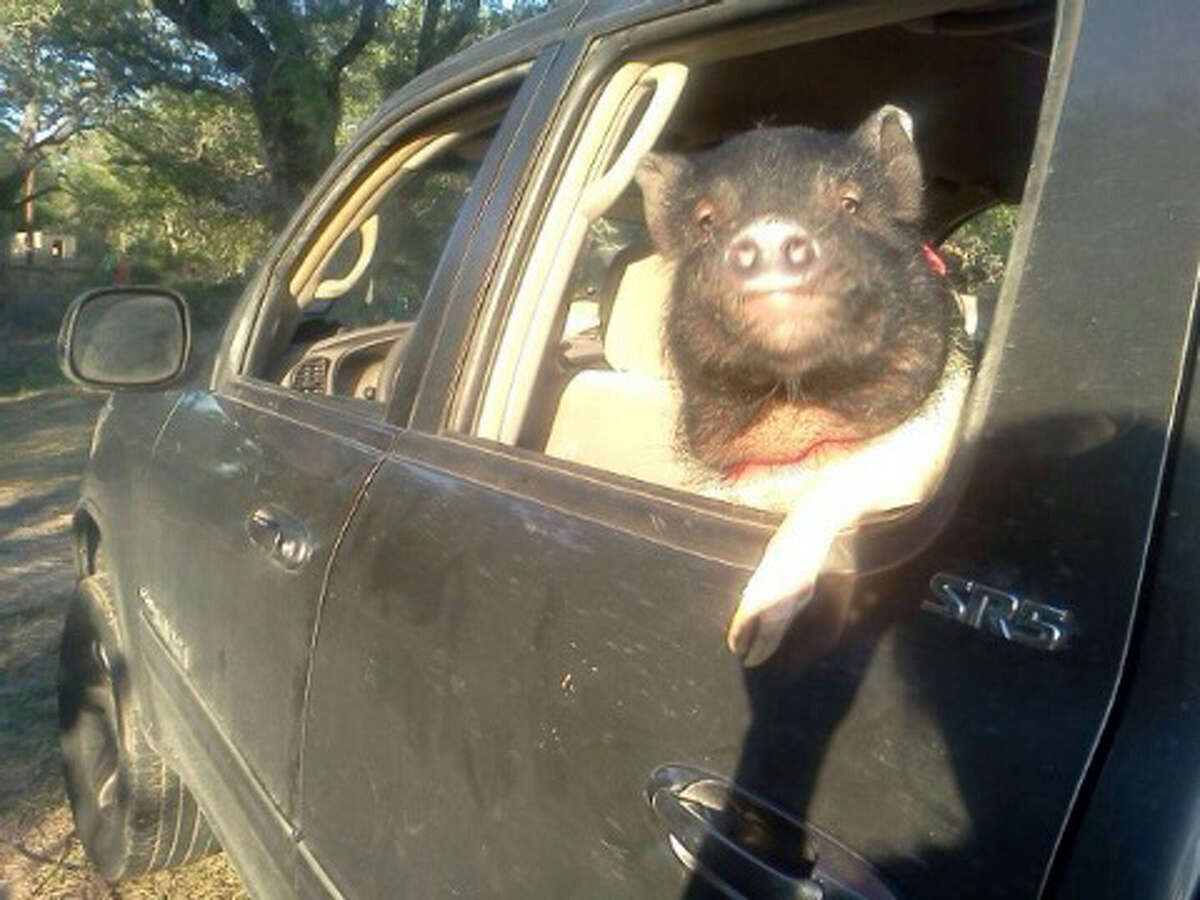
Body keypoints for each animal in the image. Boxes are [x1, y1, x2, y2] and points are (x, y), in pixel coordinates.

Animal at [634, 106, 973, 666]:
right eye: (706, 221)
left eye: (851, 203)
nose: (769, 234)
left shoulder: (933, 439)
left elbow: (845, 479)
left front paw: (748, 641)